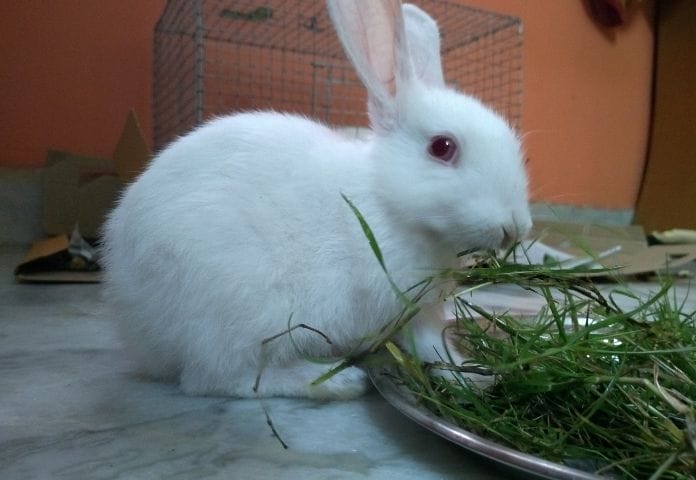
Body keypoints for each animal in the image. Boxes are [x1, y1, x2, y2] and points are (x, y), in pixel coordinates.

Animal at [101, 0, 532, 400]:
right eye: (442, 147)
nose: (516, 227)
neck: (390, 201)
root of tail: (130, 316)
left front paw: (479, 376)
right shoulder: (404, 306)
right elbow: (428, 345)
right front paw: (476, 379)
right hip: (235, 313)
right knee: (218, 379)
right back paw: (335, 381)